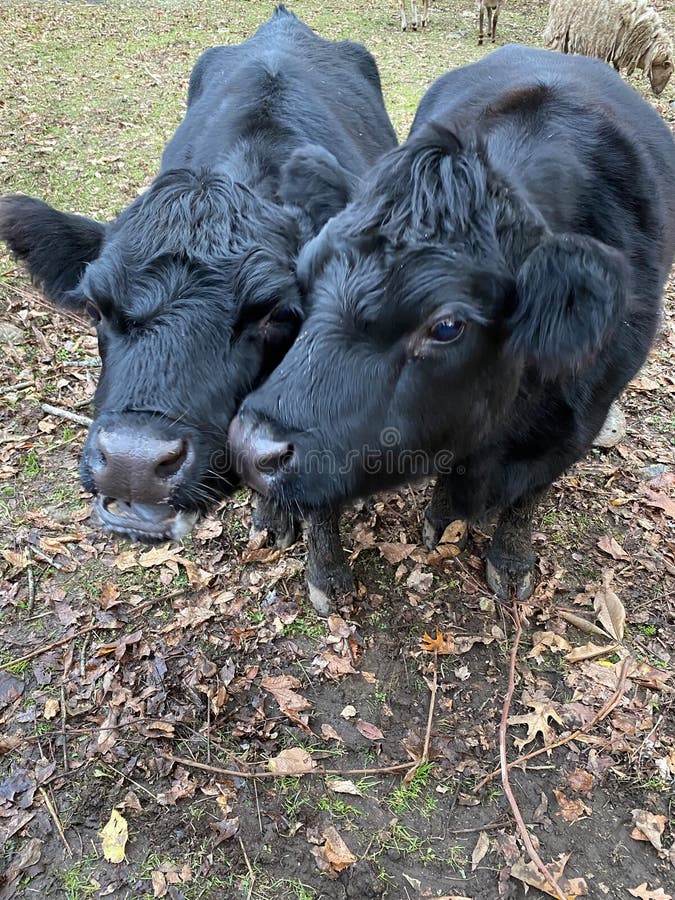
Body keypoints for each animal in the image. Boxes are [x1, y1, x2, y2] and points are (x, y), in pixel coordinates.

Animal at [229, 45, 675, 611]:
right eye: (305, 278)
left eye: (446, 327)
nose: (251, 446)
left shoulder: (575, 423)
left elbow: (526, 498)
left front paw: (510, 559)